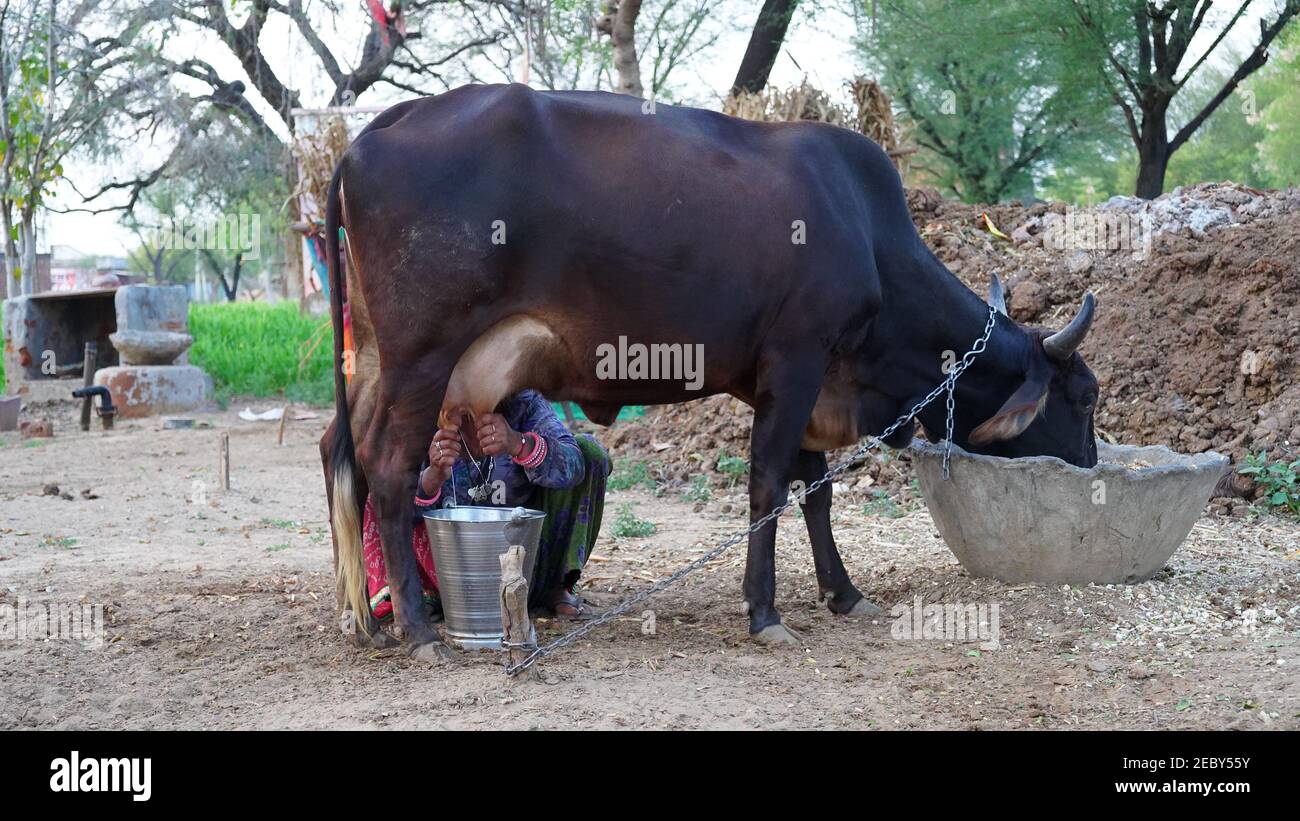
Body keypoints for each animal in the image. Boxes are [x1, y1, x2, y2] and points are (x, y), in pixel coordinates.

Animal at [320, 83, 1099, 659]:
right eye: (1085, 397)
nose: (1092, 465)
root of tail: (379, 127)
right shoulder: (797, 361)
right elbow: (769, 487)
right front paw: (765, 612)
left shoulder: (795, 384)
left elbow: (816, 491)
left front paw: (842, 592)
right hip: (422, 357)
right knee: (388, 470)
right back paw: (418, 629)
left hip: (375, 361)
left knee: (339, 452)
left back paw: (363, 615)